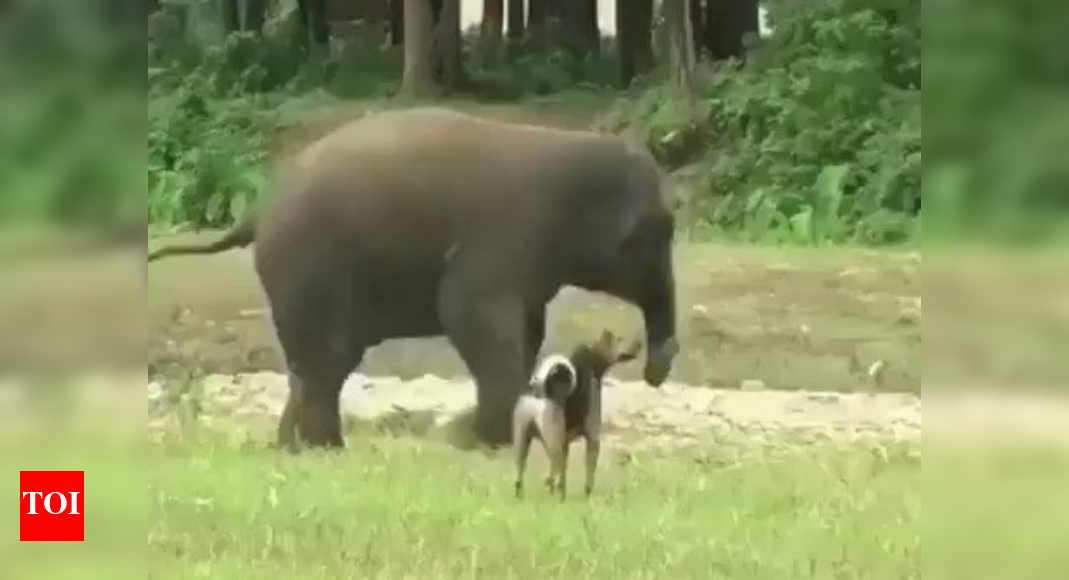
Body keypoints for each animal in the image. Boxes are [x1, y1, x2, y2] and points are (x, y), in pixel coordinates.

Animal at [146, 107, 680, 451]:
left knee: (316, 364)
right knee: (327, 360)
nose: (655, 367)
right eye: (654, 234)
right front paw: (489, 442)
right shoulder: (501, 239)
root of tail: (257, 211)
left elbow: (528, 331)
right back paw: (326, 449)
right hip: (308, 270)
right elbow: (470, 316)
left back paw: (292, 447)